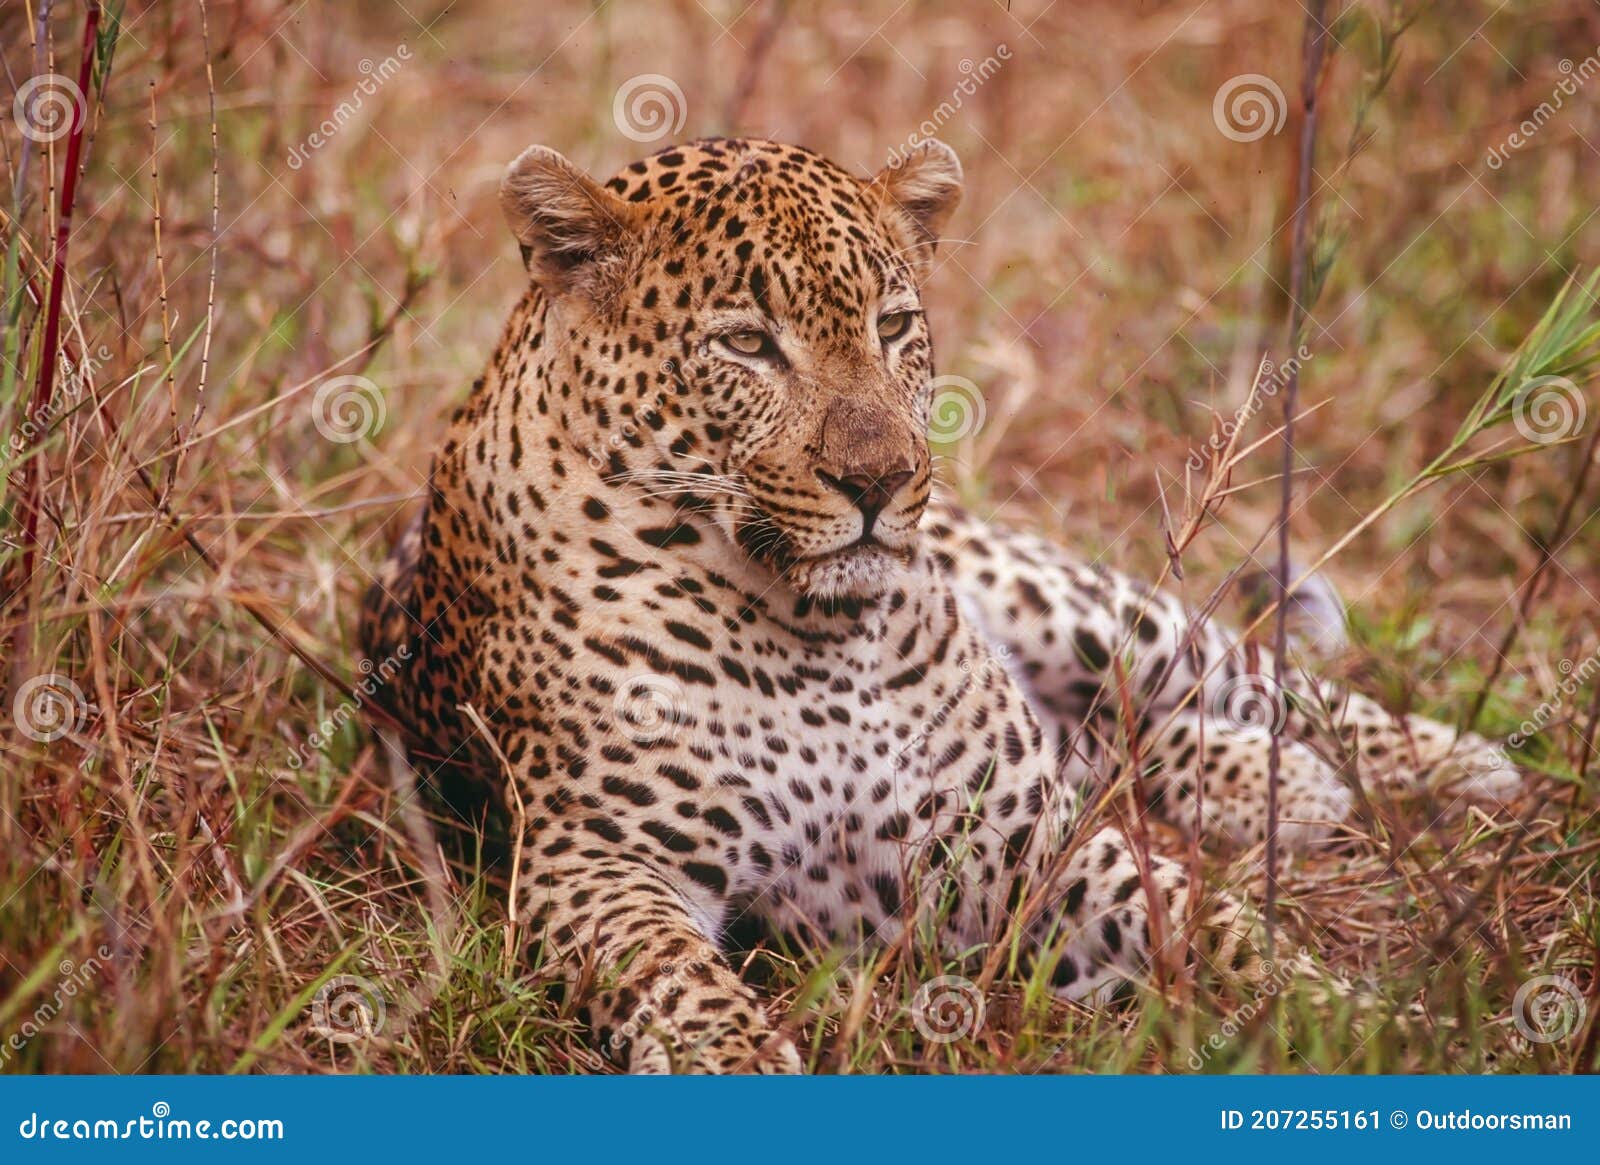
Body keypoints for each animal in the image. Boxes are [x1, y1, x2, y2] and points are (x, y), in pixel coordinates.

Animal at [356, 134, 1521, 1073]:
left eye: (894, 324)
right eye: (746, 344)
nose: (880, 481)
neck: (809, 634)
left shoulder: (1022, 842)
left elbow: (1212, 923)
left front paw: (1359, 1017)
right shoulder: (596, 862)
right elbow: (679, 983)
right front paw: (740, 1063)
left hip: (1079, 609)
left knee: (1249, 675)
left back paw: (1466, 762)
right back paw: (1266, 782)